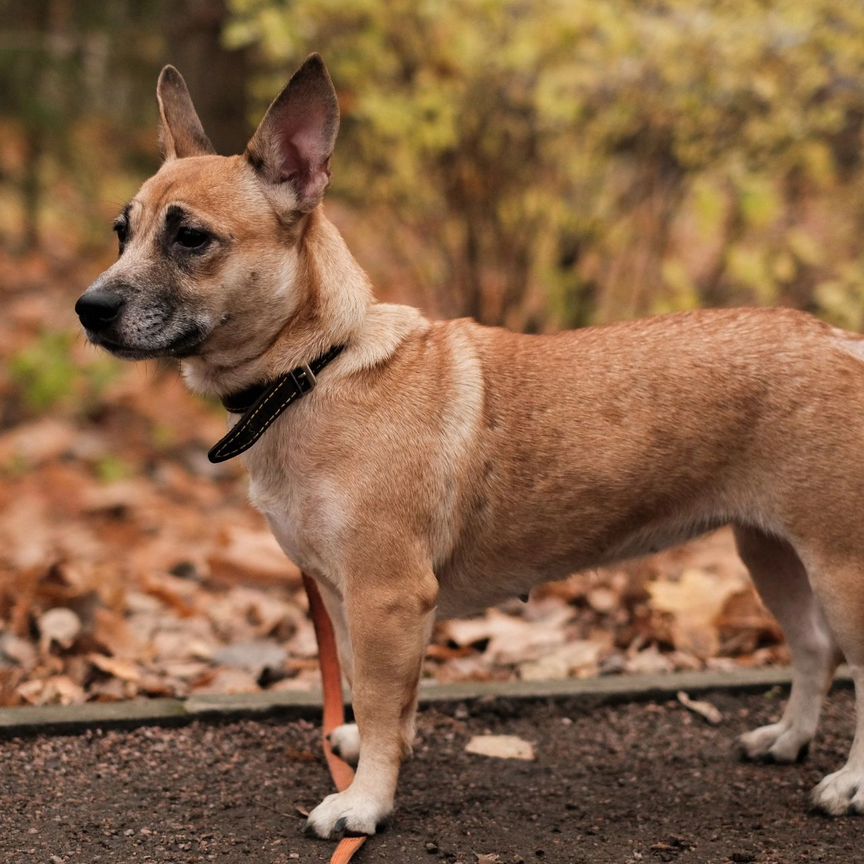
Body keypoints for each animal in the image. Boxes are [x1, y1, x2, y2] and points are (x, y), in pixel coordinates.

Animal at [76, 55, 864, 836]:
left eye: (191, 238)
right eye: (121, 232)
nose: (89, 308)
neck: (316, 369)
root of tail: (843, 342)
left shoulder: (387, 595)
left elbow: (382, 700)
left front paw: (363, 802)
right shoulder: (347, 597)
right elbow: (374, 691)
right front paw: (374, 752)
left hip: (838, 570)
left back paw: (848, 785)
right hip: (770, 554)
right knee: (815, 650)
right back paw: (788, 737)